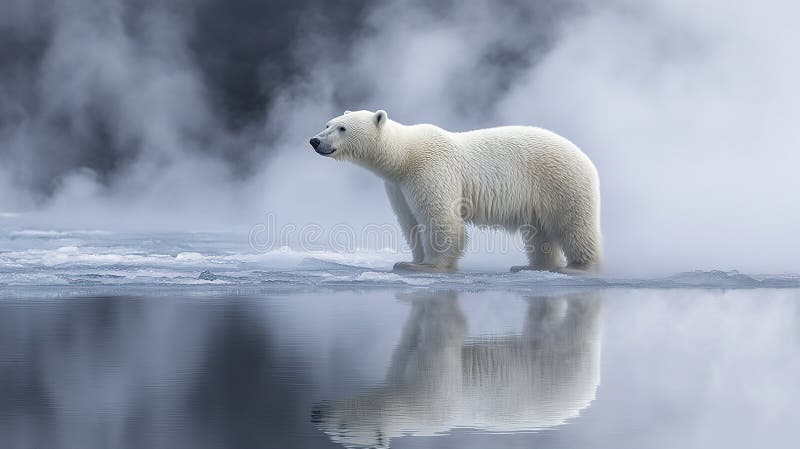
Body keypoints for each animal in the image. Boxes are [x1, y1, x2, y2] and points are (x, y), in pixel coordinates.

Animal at [309, 110, 602, 274]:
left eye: (342, 127)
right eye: (327, 123)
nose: (315, 141)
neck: (405, 156)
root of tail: (587, 160)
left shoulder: (430, 170)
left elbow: (440, 219)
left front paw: (427, 267)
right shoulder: (397, 186)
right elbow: (410, 222)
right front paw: (409, 261)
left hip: (560, 182)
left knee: (573, 225)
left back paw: (579, 268)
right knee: (539, 231)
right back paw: (532, 266)